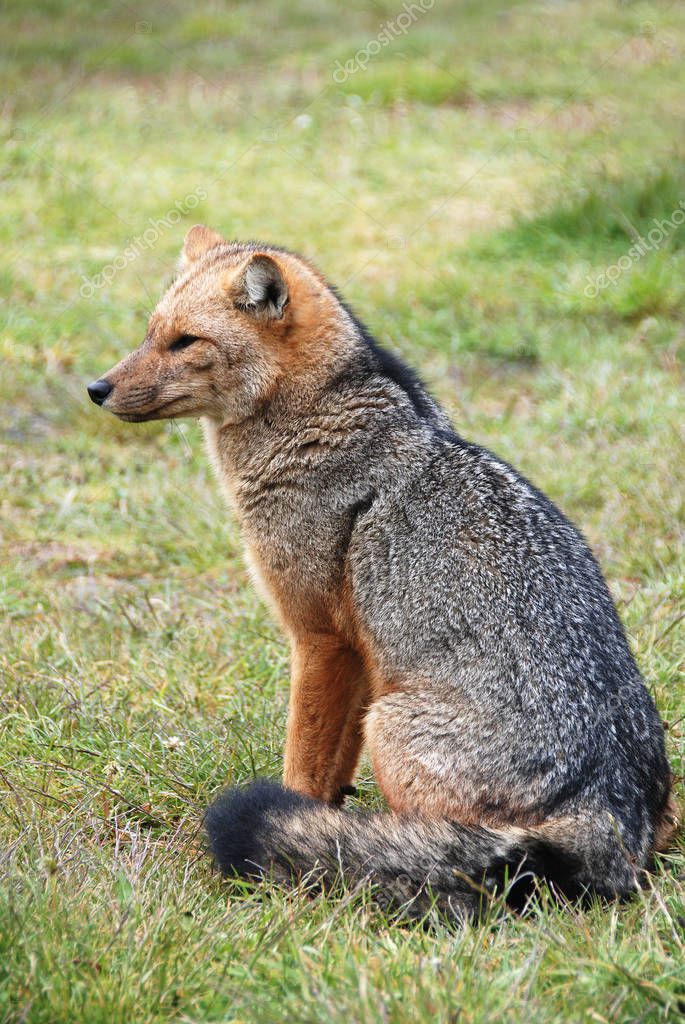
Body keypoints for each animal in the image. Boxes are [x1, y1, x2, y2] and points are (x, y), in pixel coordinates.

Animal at [88, 225, 678, 921]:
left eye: (185, 342)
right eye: (150, 332)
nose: (96, 389)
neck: (314, 428)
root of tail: (611, 813)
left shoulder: (320, 641)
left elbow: (304, 768)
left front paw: (295, 832)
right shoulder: (361, 658)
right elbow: (331, 774)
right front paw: (320, 825)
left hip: (390, 727)